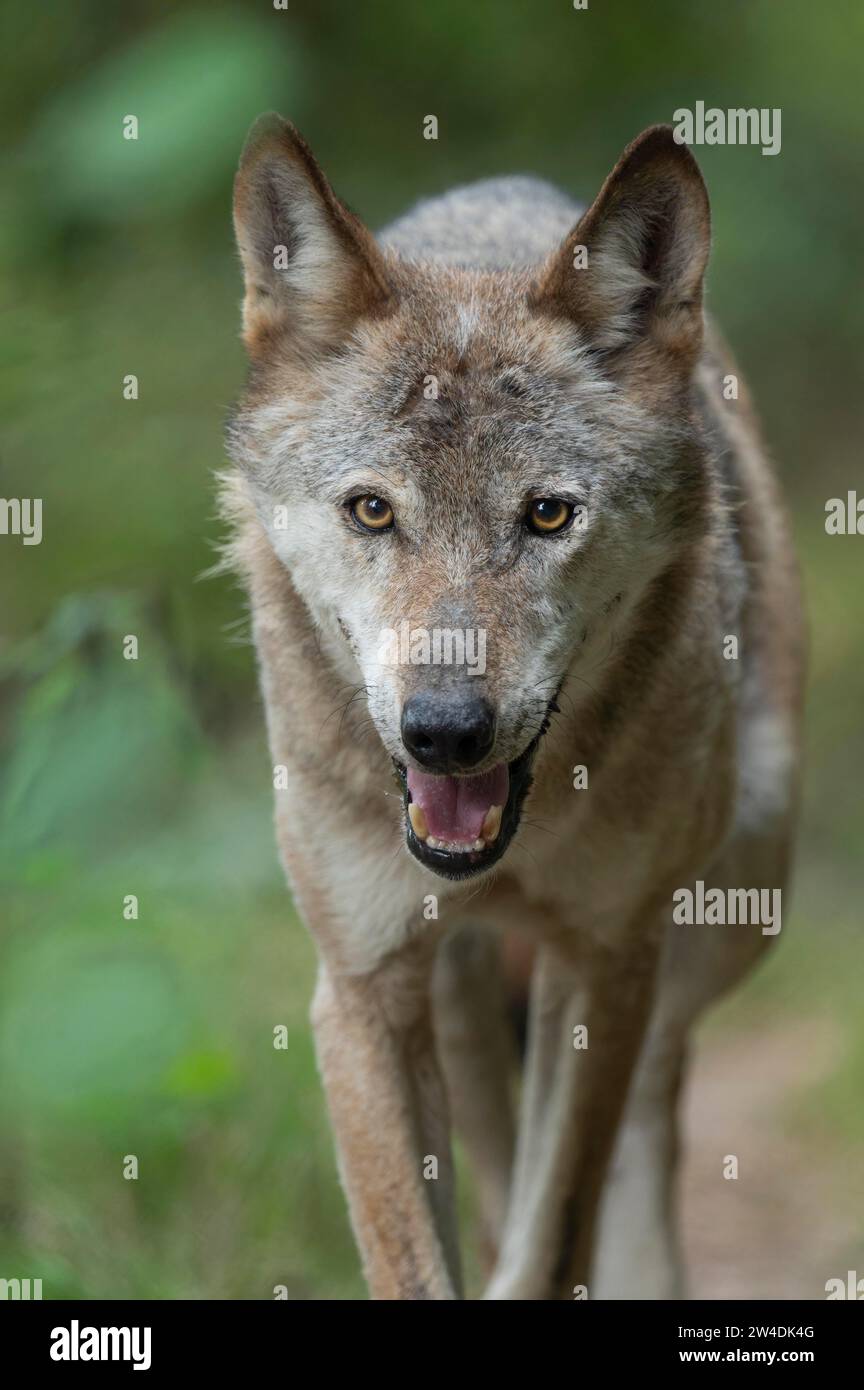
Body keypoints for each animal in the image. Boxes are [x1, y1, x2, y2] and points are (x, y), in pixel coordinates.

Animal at [223, 114, 805, 1299]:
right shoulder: (361, 987)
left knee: (643, 1129)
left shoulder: (604, 961)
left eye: (546, 515)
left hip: (729, 904)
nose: (446, 731)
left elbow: (554, 1233)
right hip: (460, 994)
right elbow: (419, 1258)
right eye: (372, 511)